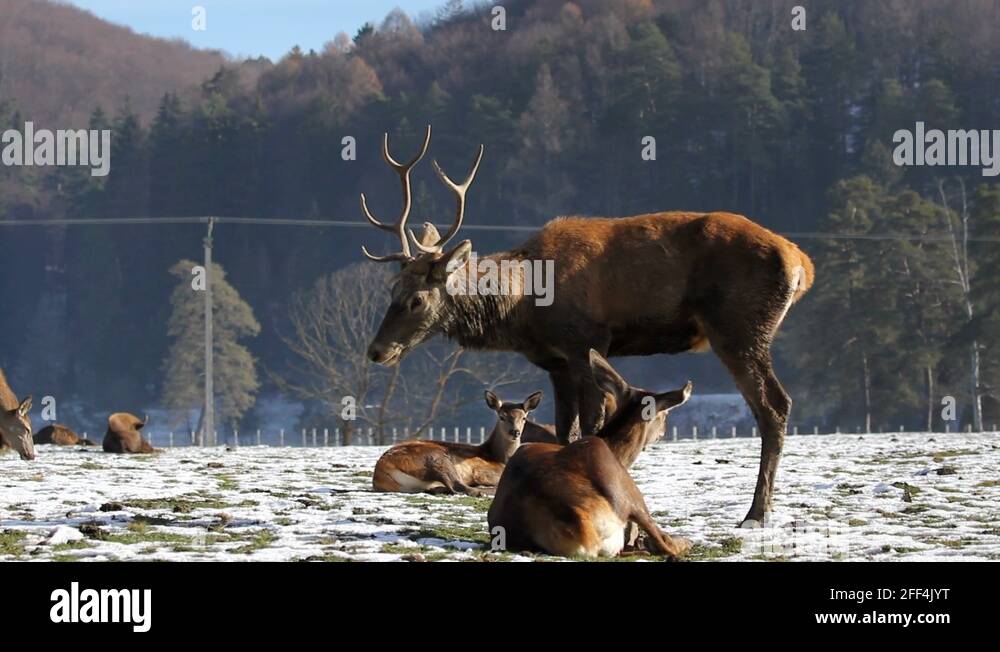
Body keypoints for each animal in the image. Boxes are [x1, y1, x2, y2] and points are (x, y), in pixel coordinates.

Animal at [372, 390, 543, 496]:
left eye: (524, 418)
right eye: (502, 416)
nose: (515, 432)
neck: (498, 457)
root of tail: (381, 471)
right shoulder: (483, 471)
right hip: (435, 457)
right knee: (457, 486)